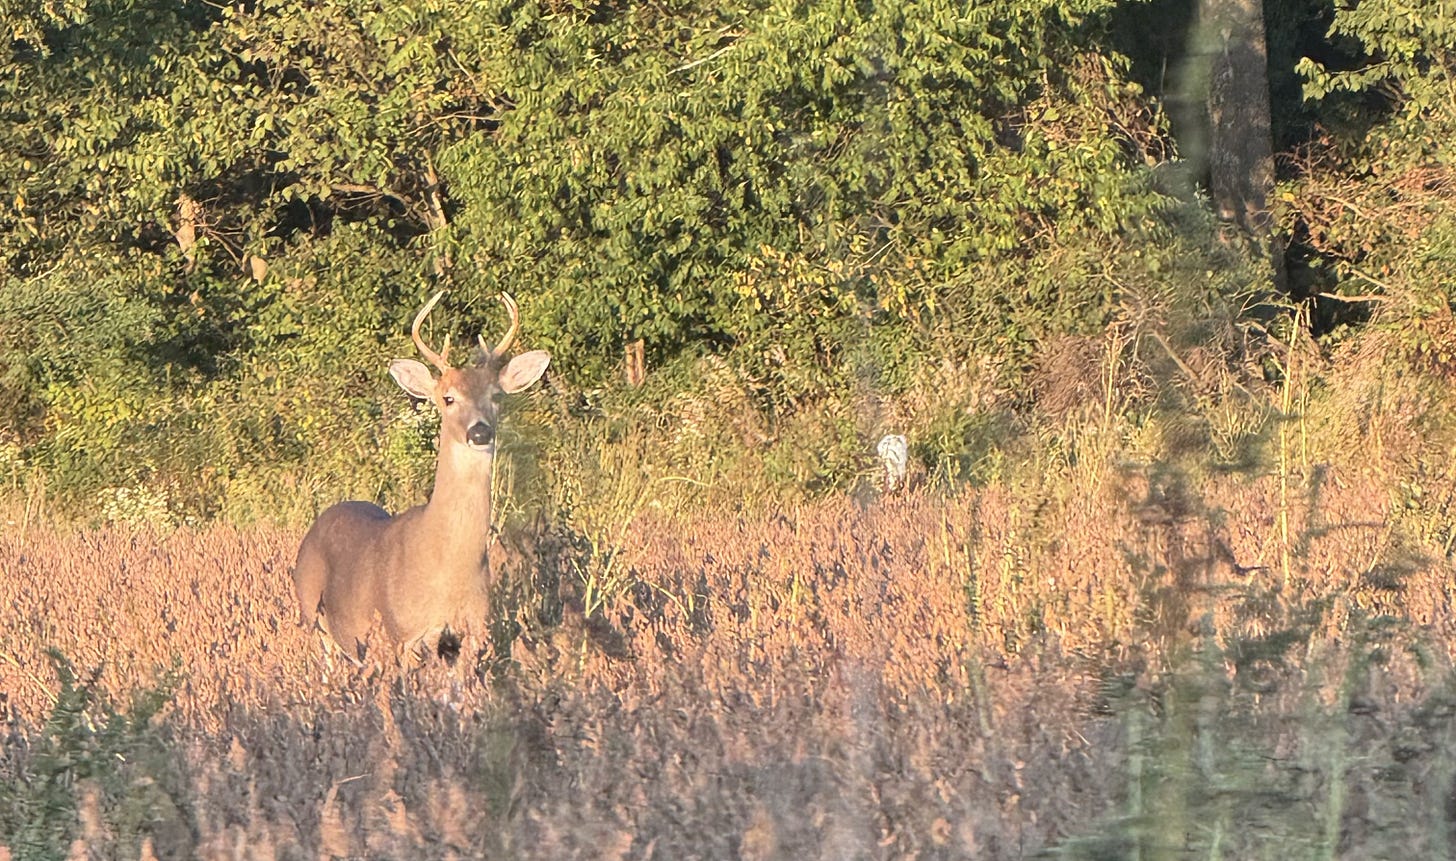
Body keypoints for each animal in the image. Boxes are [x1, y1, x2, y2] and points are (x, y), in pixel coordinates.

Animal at [292, 290, 550, 664]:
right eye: (448, 397)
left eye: (496, 396)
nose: (480, 432)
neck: (446, 566)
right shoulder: (404, 633)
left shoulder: (475, 632)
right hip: (310, 611)